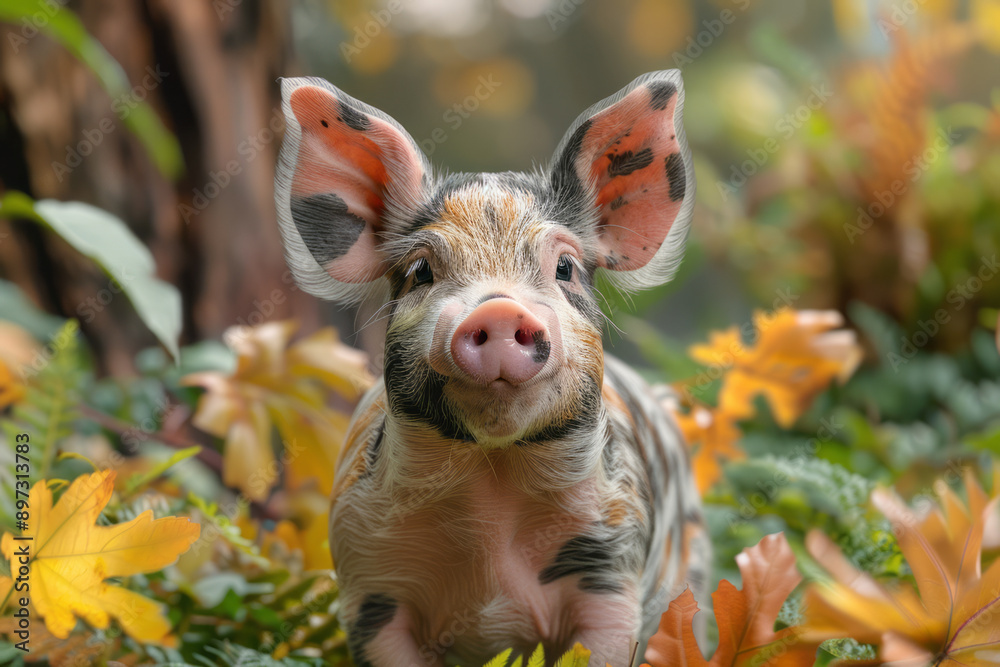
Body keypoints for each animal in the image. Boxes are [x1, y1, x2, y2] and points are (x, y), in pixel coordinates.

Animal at [273, 70, 709, 666]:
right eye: (420, 270)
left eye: (565, 268)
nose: (499, 308)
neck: (492, 493)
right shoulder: (367, 583)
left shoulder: (613, 564)